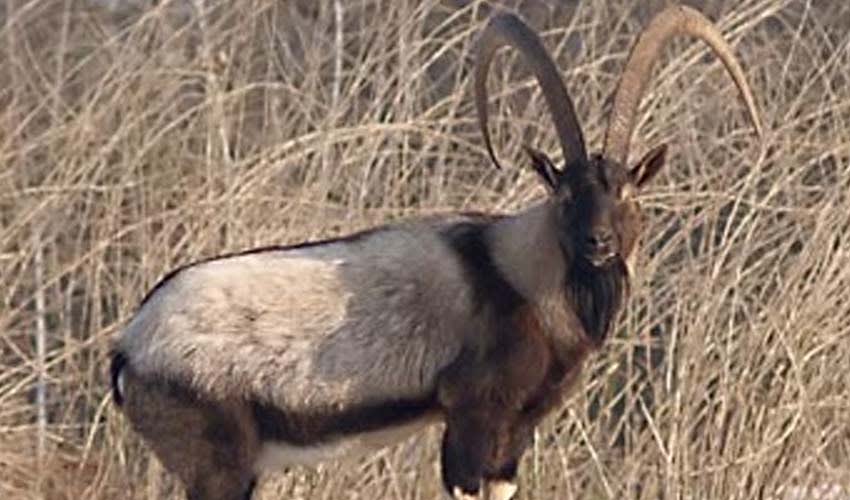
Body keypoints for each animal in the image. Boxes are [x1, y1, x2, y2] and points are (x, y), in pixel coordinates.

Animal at [110, 6, 762, 500]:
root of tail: (129, 350)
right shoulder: (472, 418)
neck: (519, 275)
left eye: (624, 190)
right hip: (220, 468)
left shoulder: (512, 437)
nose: (598, 243)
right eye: (565, 192)